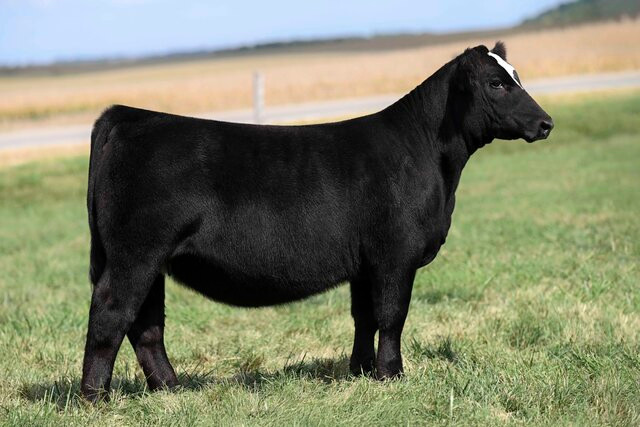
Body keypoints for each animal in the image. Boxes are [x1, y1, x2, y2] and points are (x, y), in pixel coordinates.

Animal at [81, 42, 554, 400]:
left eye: (517, 77)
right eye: (497, 83)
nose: (546, 122)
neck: (431, 158)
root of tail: (127, 115)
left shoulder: (365, 263)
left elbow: (364, 316)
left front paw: (361, 372)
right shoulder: (394, 254)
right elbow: (392, 314)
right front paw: (392, 376)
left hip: (150, 258)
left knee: (145, 324)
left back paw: (170, 388)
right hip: (135, 253)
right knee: (111, 312)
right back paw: (95, 397)